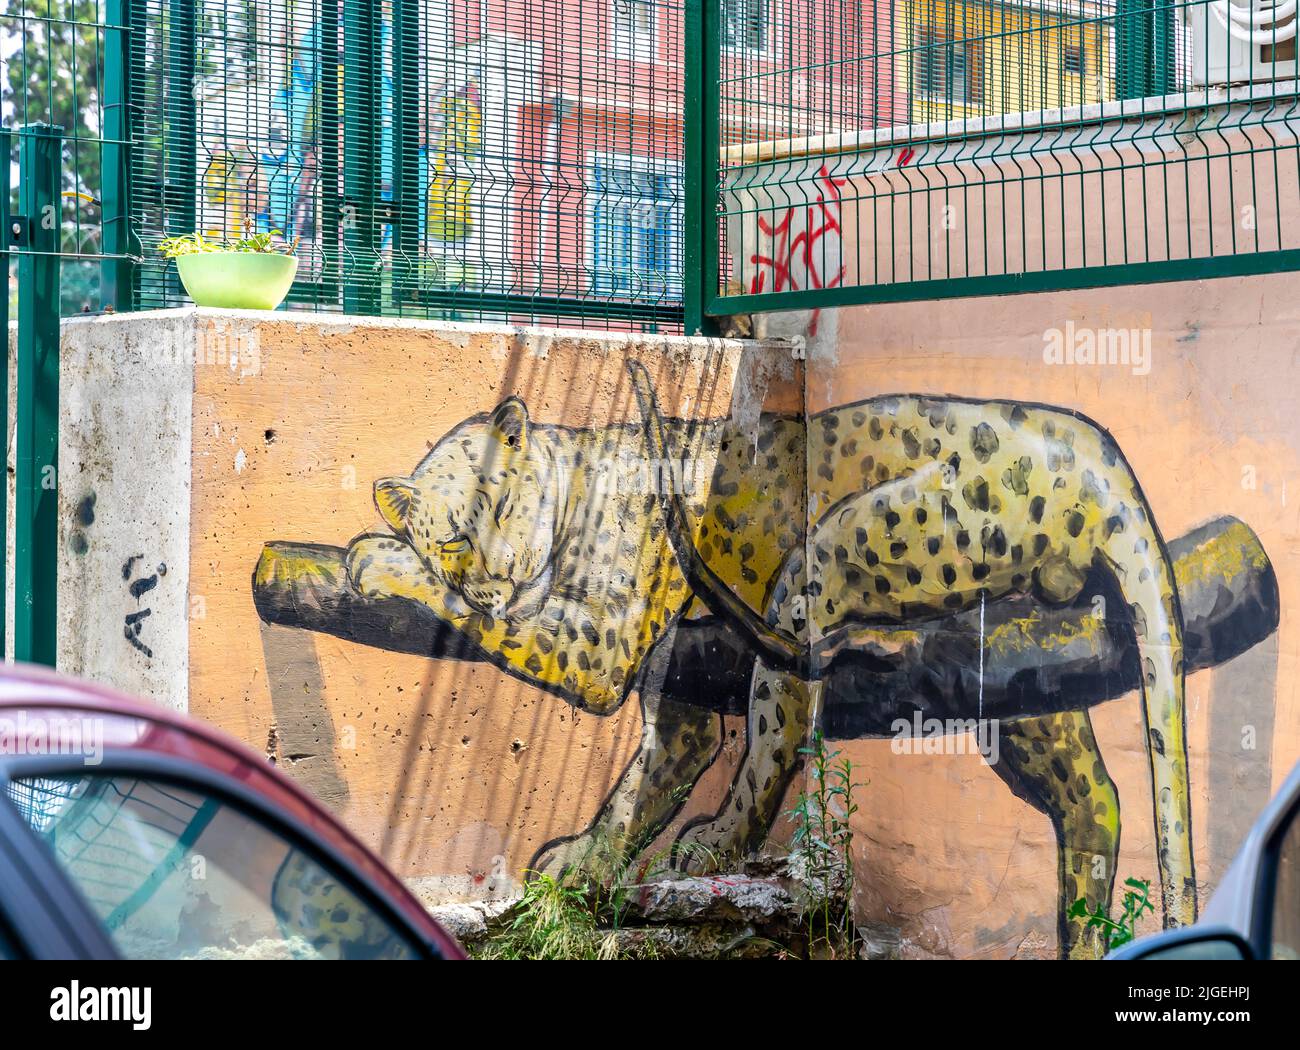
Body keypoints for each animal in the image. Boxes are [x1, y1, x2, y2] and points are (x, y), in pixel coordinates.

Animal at [342, 360, 1196, 958]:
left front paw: (376, 557)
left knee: (781, 723)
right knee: (1095, 797)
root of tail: (1092, 445)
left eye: (496, 507)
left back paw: (720, 841)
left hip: (842, 546)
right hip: (1024, 683)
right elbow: (638, 784)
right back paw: (1080, 930)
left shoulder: (604, 643)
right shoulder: (672, 704)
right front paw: (584, 860)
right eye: (453, 534)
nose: (492, 577)